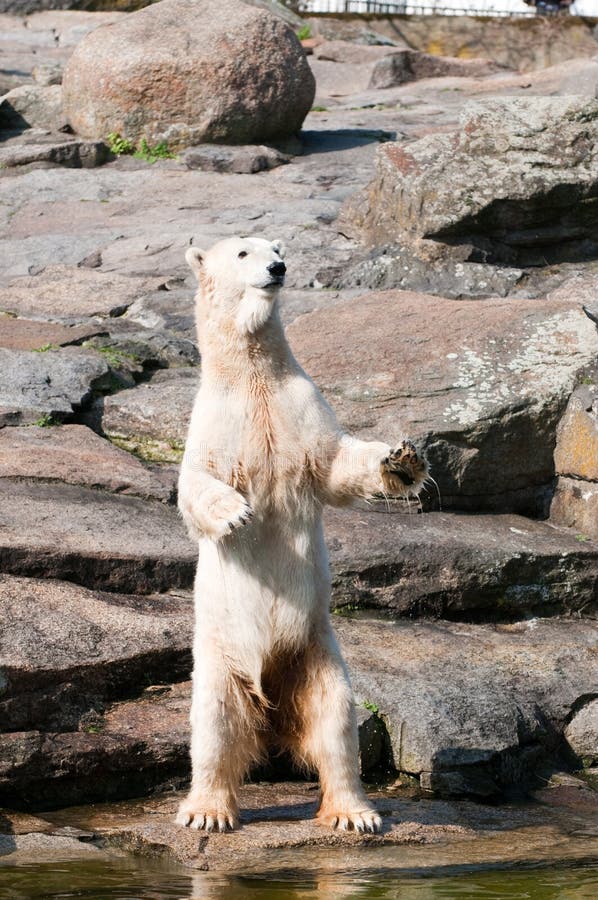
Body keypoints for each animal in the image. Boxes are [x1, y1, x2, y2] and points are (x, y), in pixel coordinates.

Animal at [176, 236, 428, 834]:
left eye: (275, 246)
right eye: (243, 253)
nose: (278, 267)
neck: (252, 376)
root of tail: (271, 713)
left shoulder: (300, 405)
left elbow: (337, 464)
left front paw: (402, 459)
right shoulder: (215, 421)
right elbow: (195, 484)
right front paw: (236, 514)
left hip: (316, 651)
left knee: (335, 720)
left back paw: (354, 812)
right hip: (219, 656)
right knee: (214, 722)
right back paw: (206, 811)